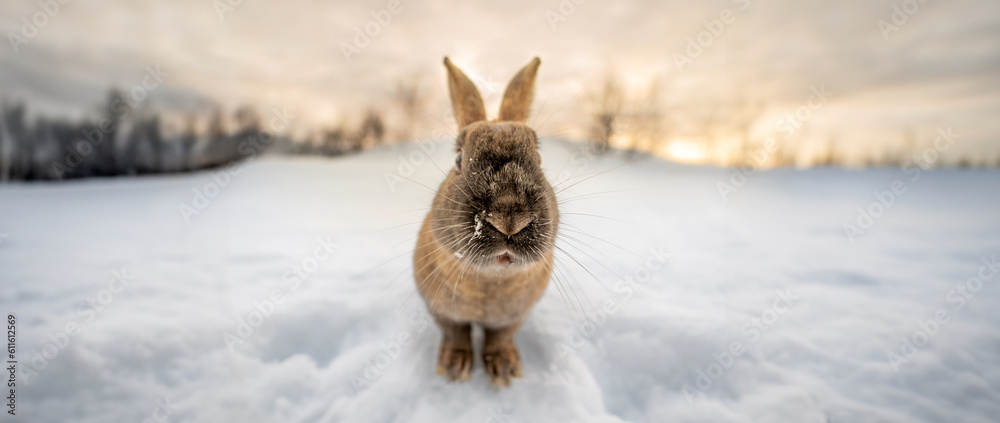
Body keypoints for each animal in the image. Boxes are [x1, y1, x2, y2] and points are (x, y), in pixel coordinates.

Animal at [413, 57, 559, 388]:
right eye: (458, 160)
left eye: (539, 159)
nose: (509, 218)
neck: (492, 279)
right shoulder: (443, 312)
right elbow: (455, 333)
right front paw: (454, 368)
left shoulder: (512, 318)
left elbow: (500, 337)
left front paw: (504, 370)